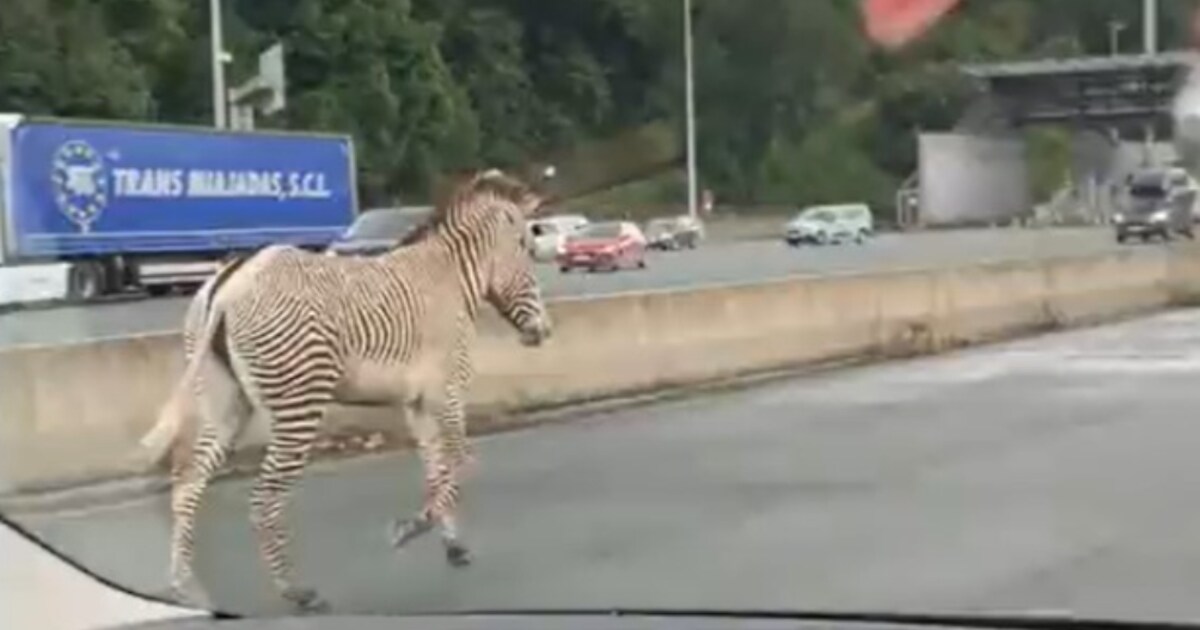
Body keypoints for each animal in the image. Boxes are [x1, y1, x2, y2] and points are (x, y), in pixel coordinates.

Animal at [159, 170, 551, 612]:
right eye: (528, 250)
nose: (543, 331)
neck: (450, 280)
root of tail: (232, 281)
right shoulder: (446, 394)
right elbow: (462, 465)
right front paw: (408, 529)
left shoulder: (417, 404)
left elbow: (436, 471)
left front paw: (452, 545)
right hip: (298, 407)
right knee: (262, 499)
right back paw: (295, 592)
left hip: (226, 406)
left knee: (187, 484)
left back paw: (185, 588)